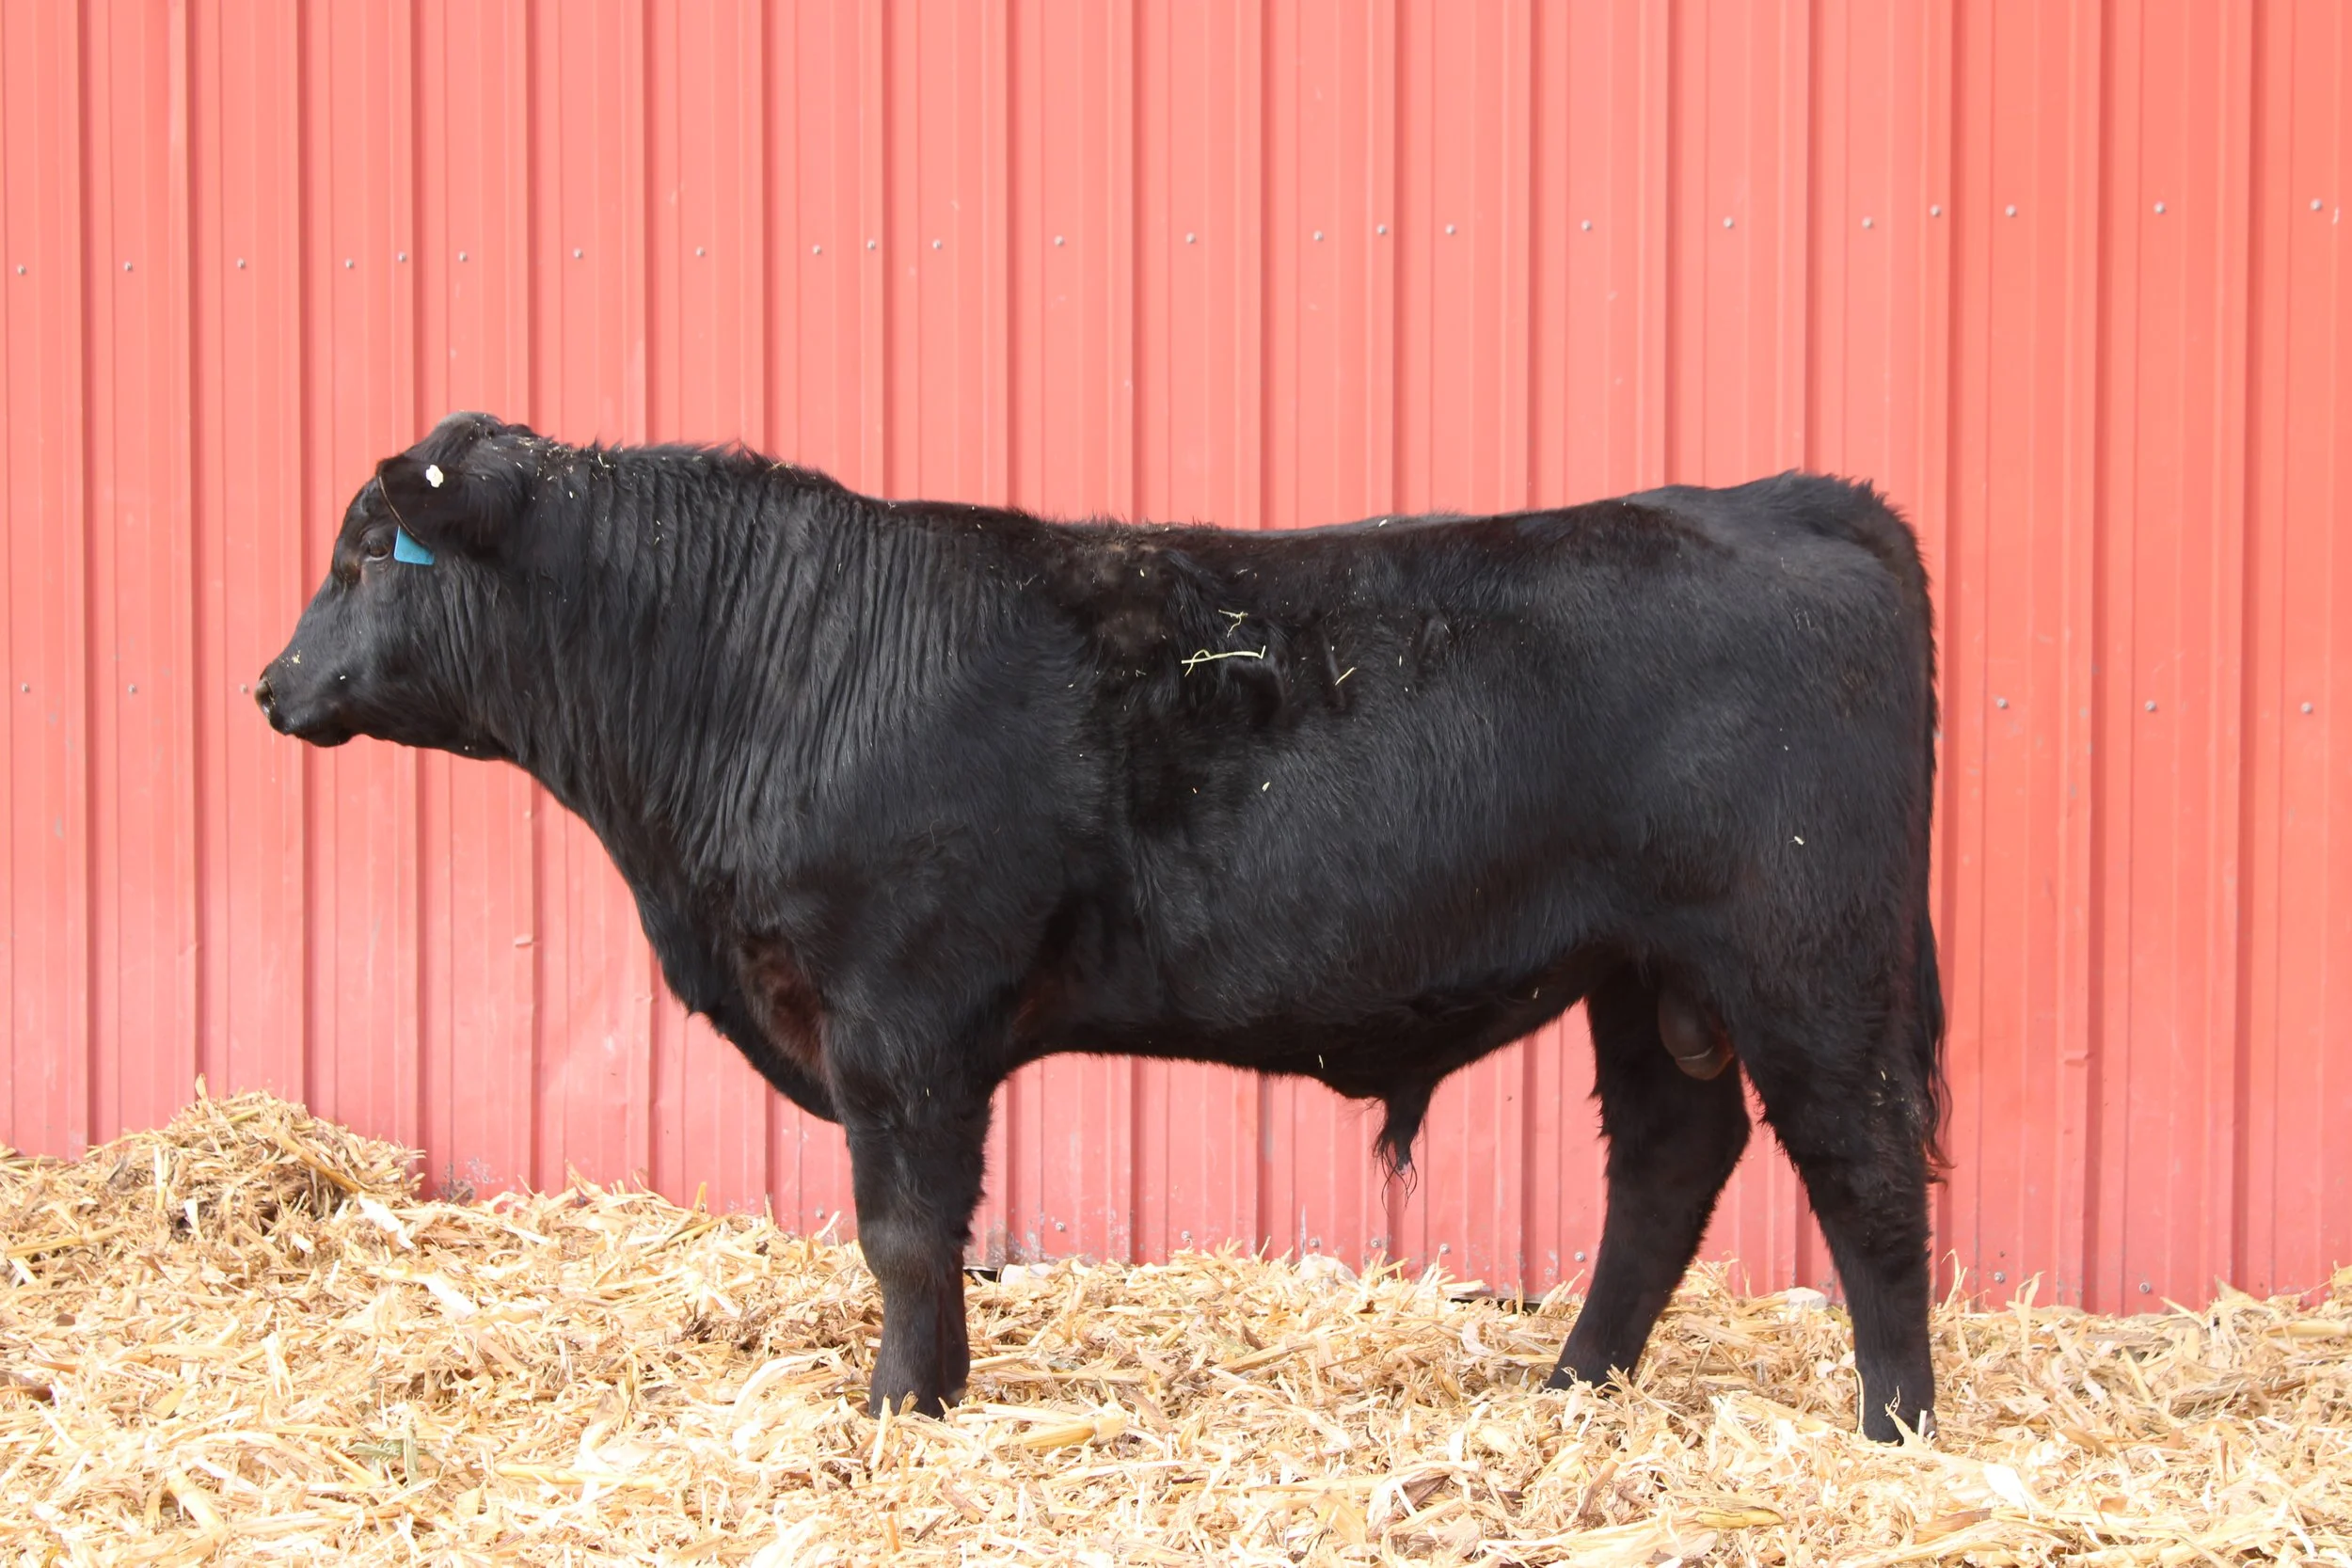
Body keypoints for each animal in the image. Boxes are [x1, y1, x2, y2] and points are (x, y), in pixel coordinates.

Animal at [257, 412, 1947, 1441]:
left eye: (361, 554)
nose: (270, 683)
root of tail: (1786, 501)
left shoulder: (903, 1011)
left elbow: (904, 1227)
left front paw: (903, 1404)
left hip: (1807, 951)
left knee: (1861, 1171)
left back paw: (1897, 1421)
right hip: (1646, 970)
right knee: (1666, 1163)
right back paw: (1574, 1382)